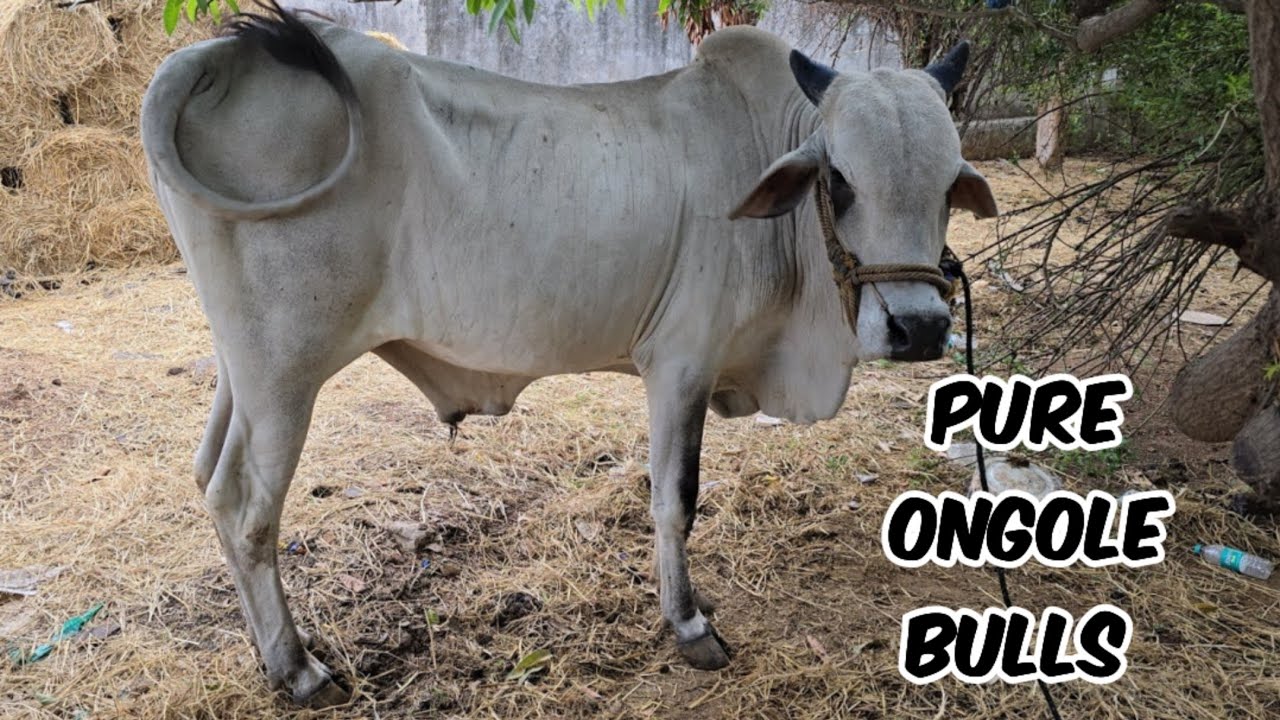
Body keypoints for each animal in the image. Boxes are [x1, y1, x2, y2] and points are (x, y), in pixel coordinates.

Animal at [141, 2, 996, 706]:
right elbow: (675, 499)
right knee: (250, 507)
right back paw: (298, 670)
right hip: (286, 371)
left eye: (950, 183)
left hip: (245, 371)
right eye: (840, 180)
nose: (920, 328)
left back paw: (271, 654)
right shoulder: (680, 363)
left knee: (212, 482)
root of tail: (217, 55)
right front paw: (689, 626)